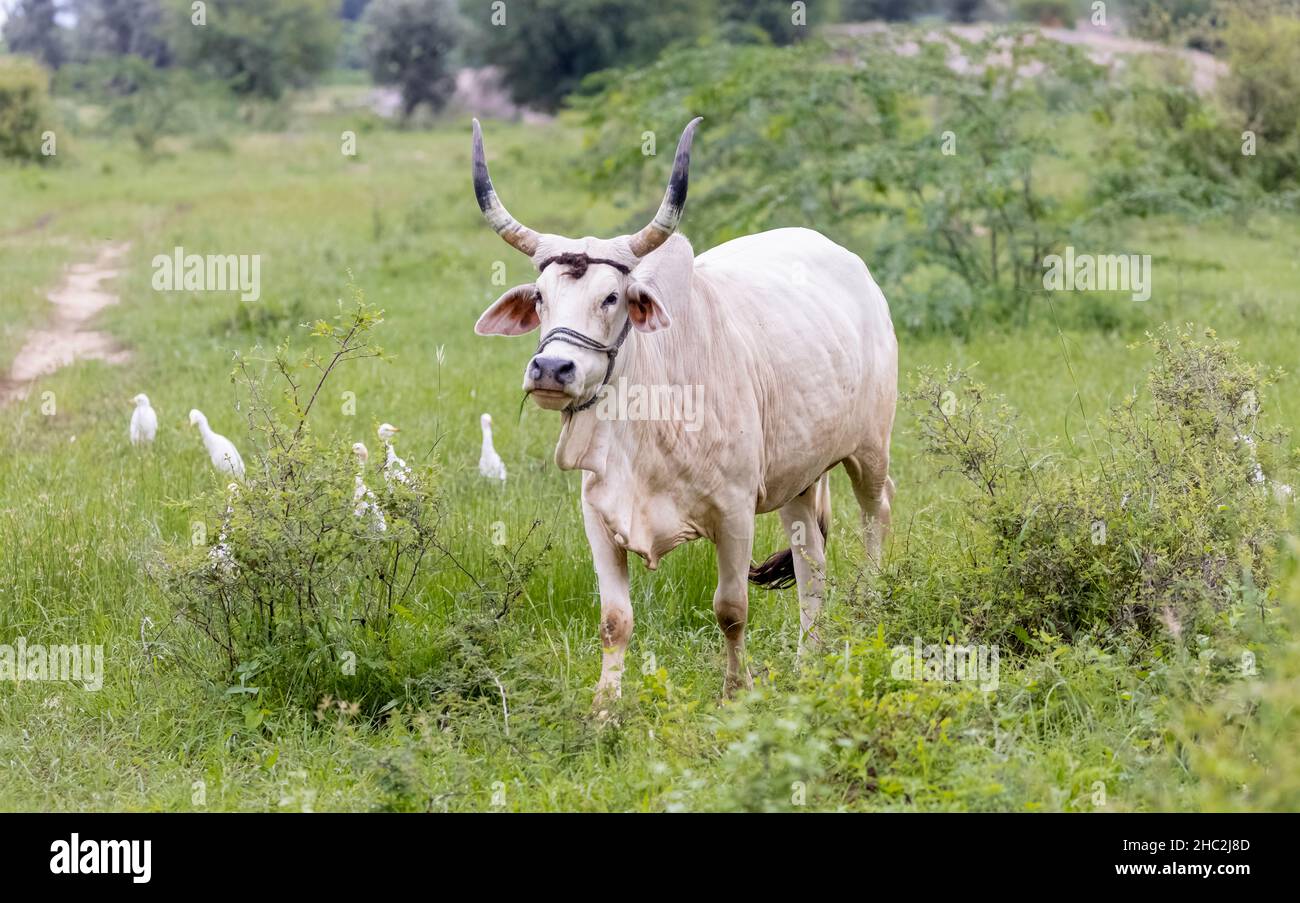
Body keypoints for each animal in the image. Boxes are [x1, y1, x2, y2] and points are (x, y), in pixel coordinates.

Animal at [471, 118, 897, 706]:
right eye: (539, 297)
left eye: (613, 297)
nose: (552, 369)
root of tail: (856, 270)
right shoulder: (598, 515)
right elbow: (614, 619)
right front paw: (604, 708)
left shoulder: (735, 513)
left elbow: (731, 610)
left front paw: (735, 692)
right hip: (798, 476)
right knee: (811, 559)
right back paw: (807, 662)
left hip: (870, 450)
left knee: (876, 517)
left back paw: (870, 610)